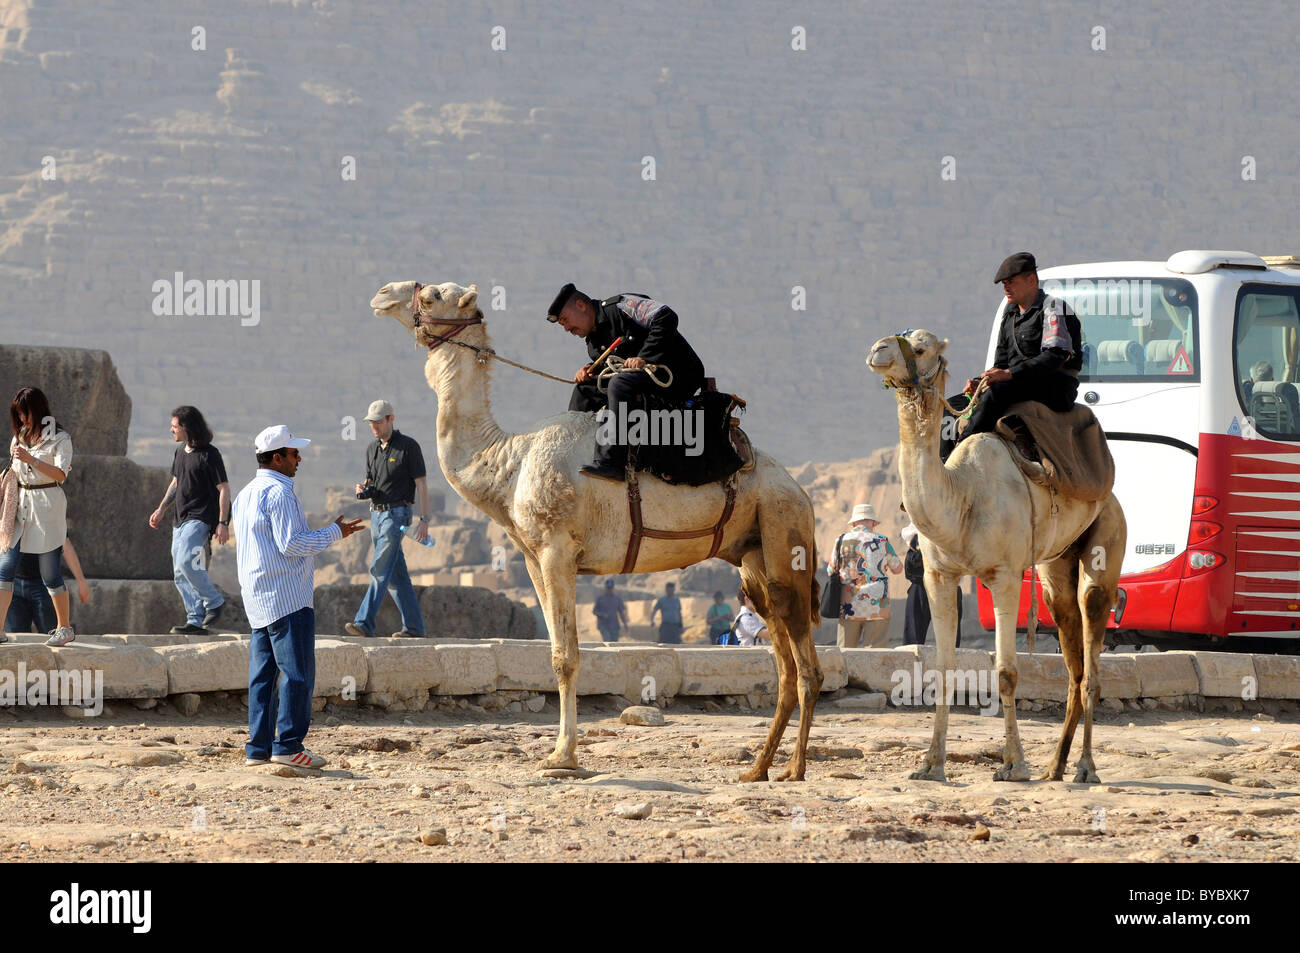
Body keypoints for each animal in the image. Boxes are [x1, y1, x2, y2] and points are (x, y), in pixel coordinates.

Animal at [371, 279, 824, 780]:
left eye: (432, 294)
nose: (383, 294)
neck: (508, 462)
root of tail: (799, 489)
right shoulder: (533, 558)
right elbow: (555, 650)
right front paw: (560, 751)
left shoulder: (557, 550)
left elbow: (567, 657)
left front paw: (562, 757)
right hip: (752, 555)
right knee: (782, 658)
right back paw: (758, 768)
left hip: (784, 528)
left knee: (806, 663)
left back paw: (795, 768)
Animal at [867, 330, 1126, 783]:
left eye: (921, 347)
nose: (878, 349)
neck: (962, 496)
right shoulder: (938, 576)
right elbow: (942, 670)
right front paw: (930, 765)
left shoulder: (1004, 576)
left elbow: (1006, 672)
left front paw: (1014, 764)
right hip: (1055, 566)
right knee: (1071, 655)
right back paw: (1054, 767)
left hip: (1108, 537)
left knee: (1091, 656)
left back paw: (1084, 768)